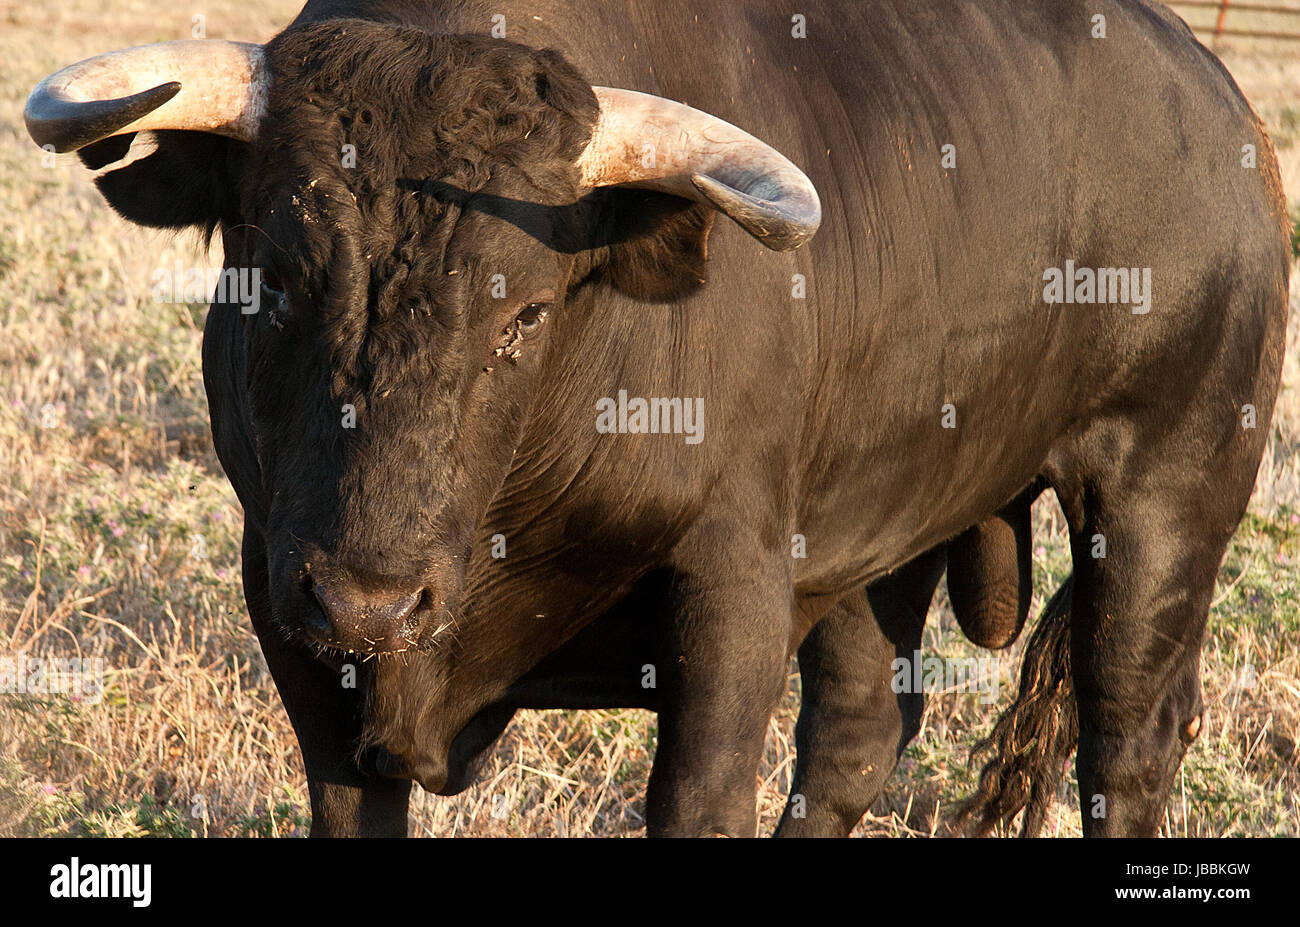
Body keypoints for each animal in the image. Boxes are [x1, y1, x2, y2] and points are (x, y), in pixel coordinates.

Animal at [26, 0, 1289, 837]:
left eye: (526, 314)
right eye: (277, 277)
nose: (370, 602)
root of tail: (1206, 88)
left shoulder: (728, 593)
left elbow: (700, 795)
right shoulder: (292, 623)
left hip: (1165, 498)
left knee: (1127, 737)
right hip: (870, 542)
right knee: (856, 736)